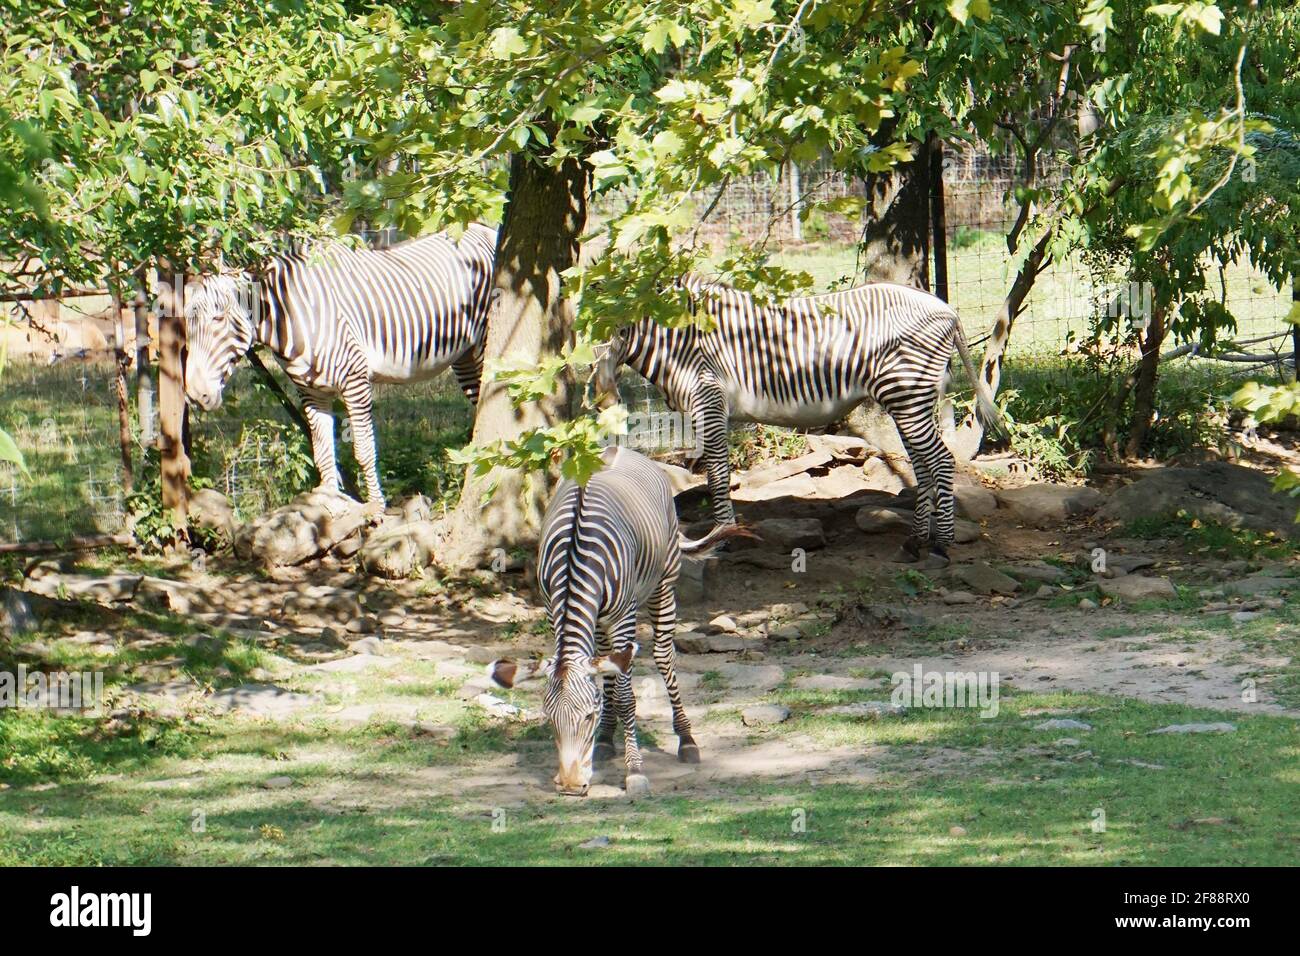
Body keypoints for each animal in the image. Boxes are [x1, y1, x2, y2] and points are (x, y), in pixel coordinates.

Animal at [183, 224, 497, 506]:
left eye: (218, 319)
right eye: (186, 323)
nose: (195, 395)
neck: (291, 317)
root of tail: (486, 228)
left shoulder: (355, 381)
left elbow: (364, 449)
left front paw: (376, 509)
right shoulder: (311, 391)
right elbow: (322, 450)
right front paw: (329, 502)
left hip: (485, 348)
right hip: (465, 358)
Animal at [487, 445, 748, 797]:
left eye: (588, 716)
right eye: (550, 719)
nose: (570, 786)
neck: (574, 558)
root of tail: (620, 448)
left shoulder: (624, 616)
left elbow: (626, 697)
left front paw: (635, 771)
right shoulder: (555, 611)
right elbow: (605, 678)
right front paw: (605, 739)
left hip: (662, 585)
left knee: (664, 657)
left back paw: (686, 740)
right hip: (602, 622)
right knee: (607, 665)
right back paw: (608, 740)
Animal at [593, 275, 1003, 567]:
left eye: (614, 334)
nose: (602, 400)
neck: (680, 342)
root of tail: (946, 308)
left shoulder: (709, 401)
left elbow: (717, 475)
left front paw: (722, 538)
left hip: (906, 391)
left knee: (942, 460)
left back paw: (940, 546)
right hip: (907, 397)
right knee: (922, 463)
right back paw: (914, 541)